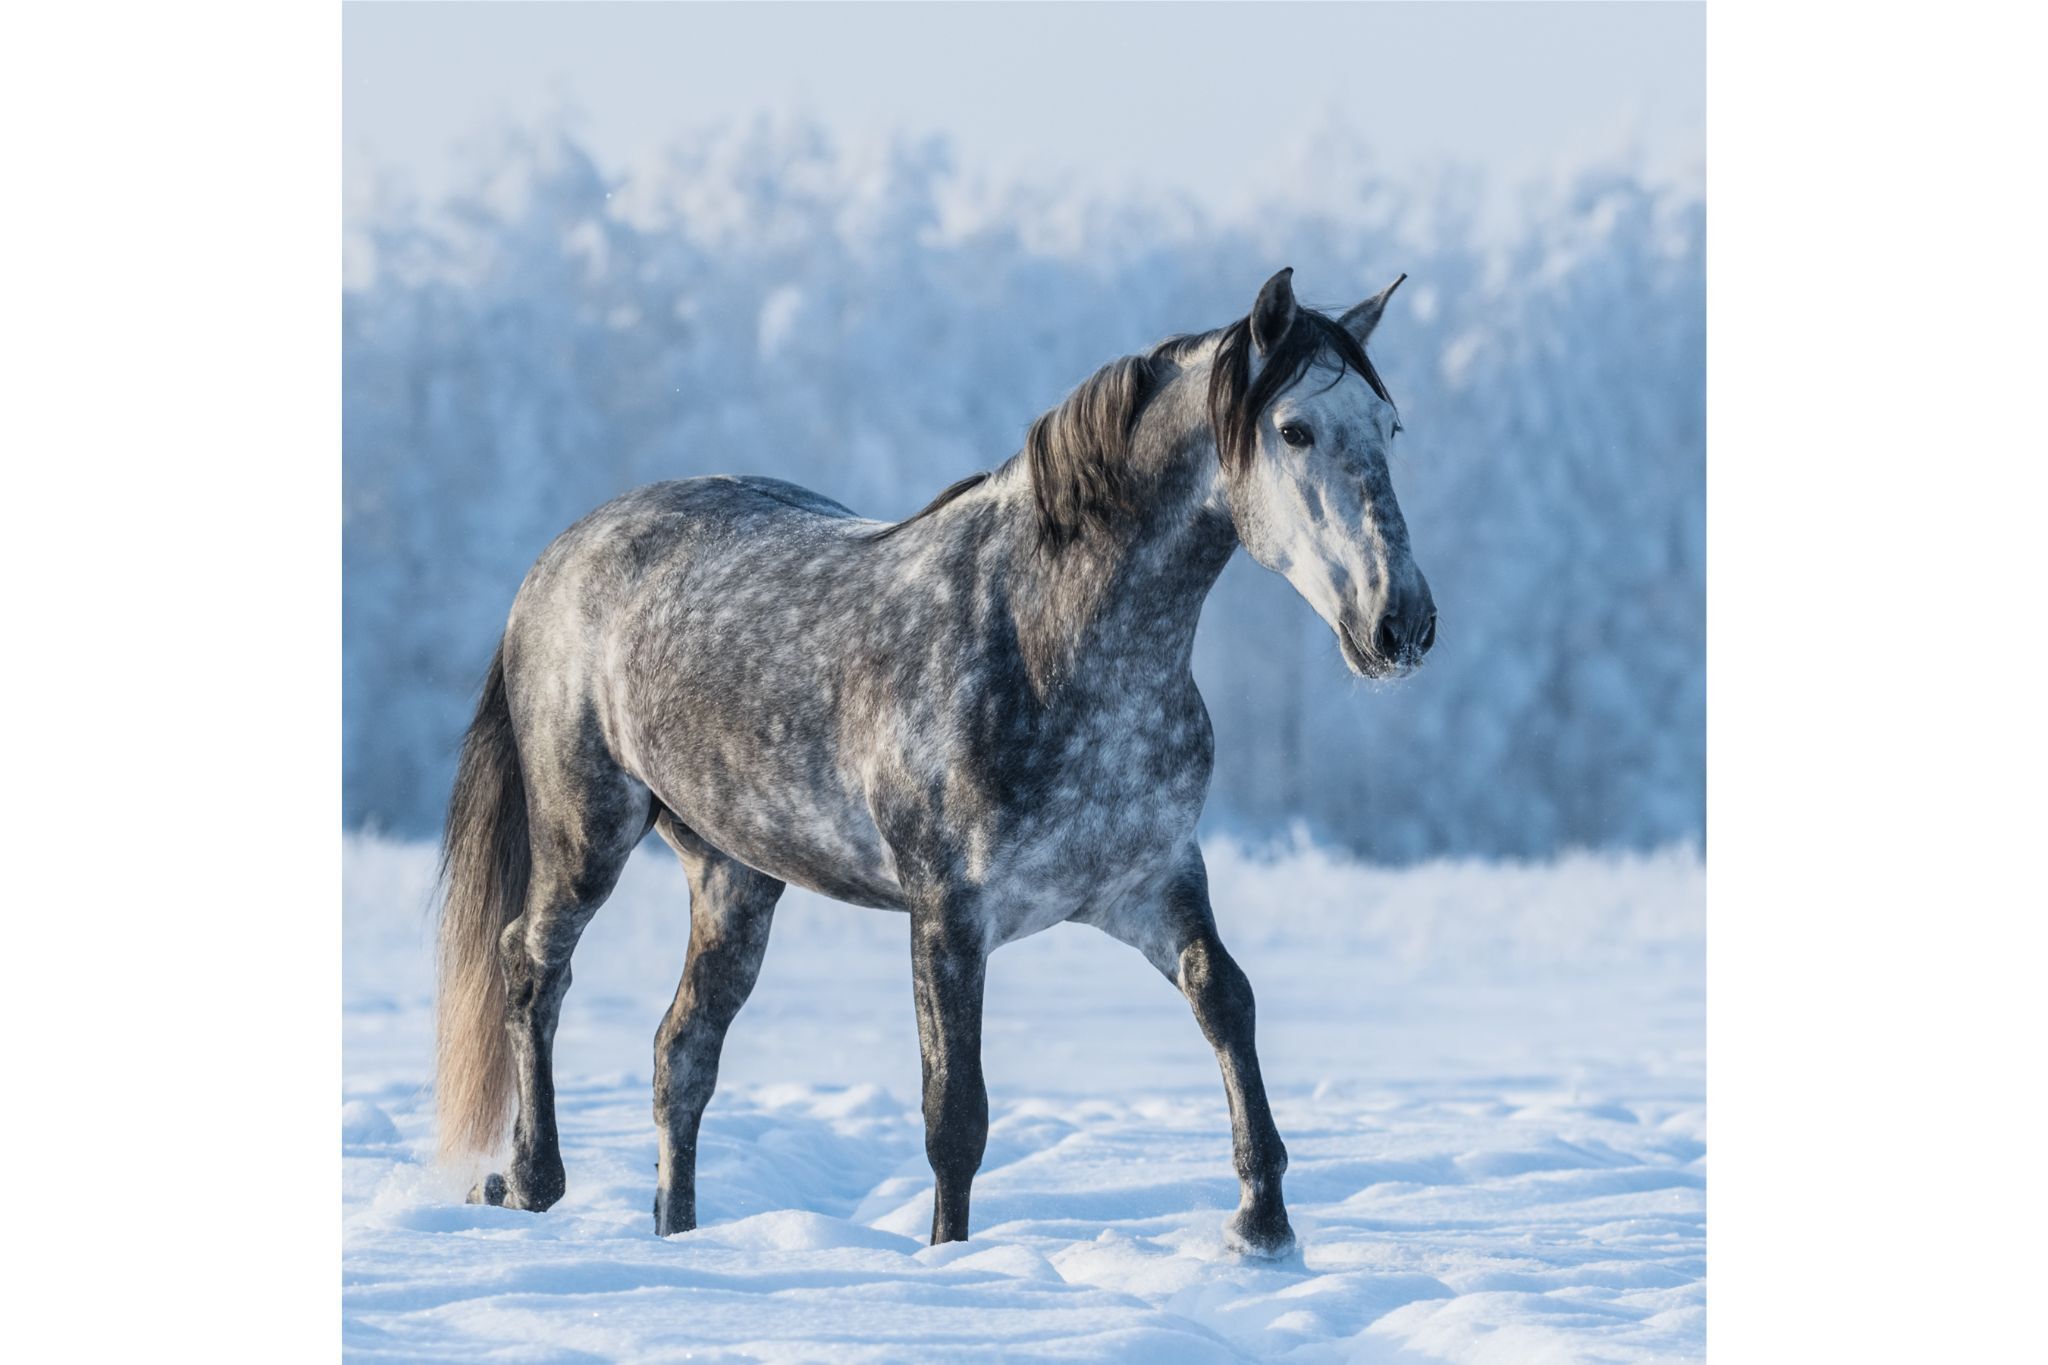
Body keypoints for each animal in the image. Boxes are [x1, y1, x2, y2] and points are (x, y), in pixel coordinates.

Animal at [434, 267, 1435, 1255]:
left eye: (1389, 428)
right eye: (1295, 429)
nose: (1403, 623)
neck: (1048, 639)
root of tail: (559, 557)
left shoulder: (1149, 881)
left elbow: (1226, 1000)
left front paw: (1263, 1223)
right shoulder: (949, 912)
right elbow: (955, 1112)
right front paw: (950, 1261)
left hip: (734, 876)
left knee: (681, 1052)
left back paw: (675, 1234)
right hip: (587, 830)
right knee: (533, 965)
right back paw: (530, 1180)